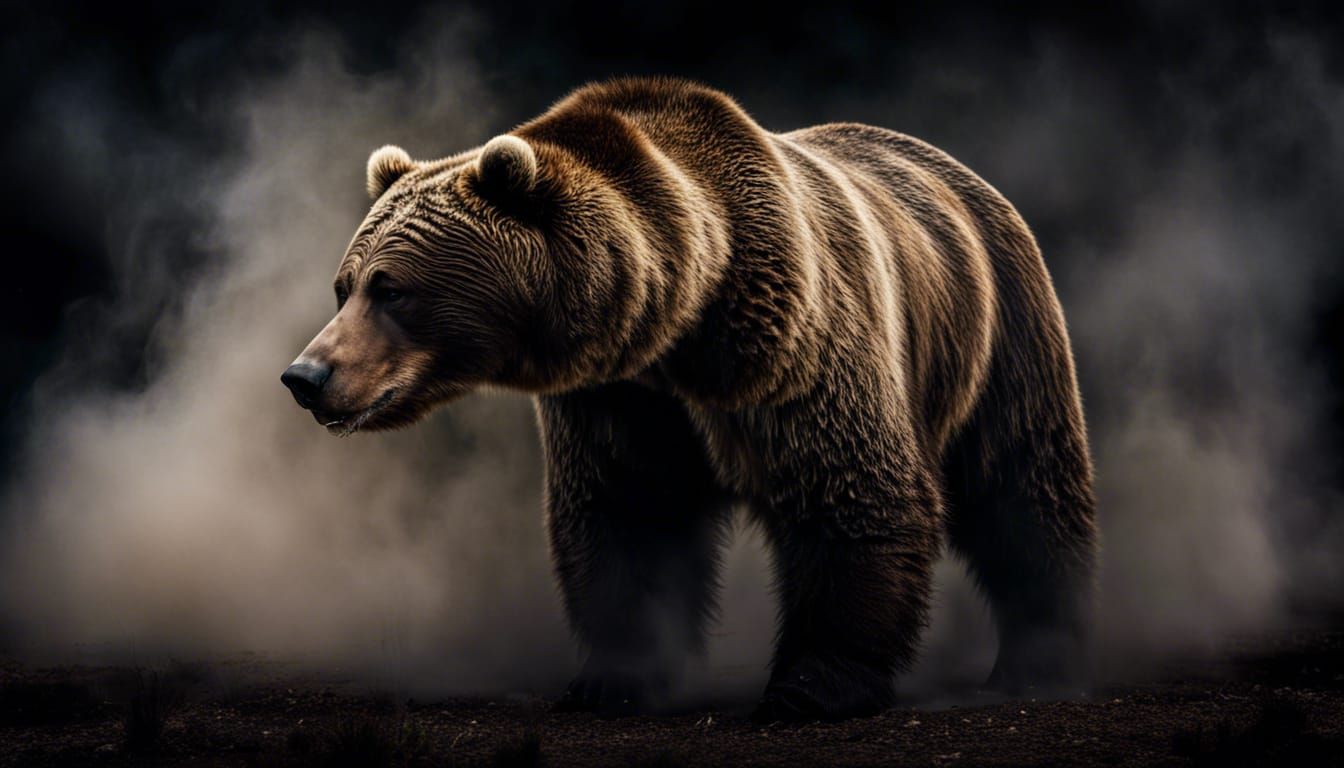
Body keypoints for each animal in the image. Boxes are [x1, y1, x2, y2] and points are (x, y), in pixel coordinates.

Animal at [282, 77, 1099, 721]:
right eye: (344, 286)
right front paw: (615, 677)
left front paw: (810, 687)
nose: (306, 376)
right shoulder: (618, 401)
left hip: (1000, 331)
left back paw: (1043, 652)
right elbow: (628, 513)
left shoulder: (794, 351)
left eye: (393, 288)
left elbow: (849, 488)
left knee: (1022, 486)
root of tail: (958, 170)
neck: (681, 318)